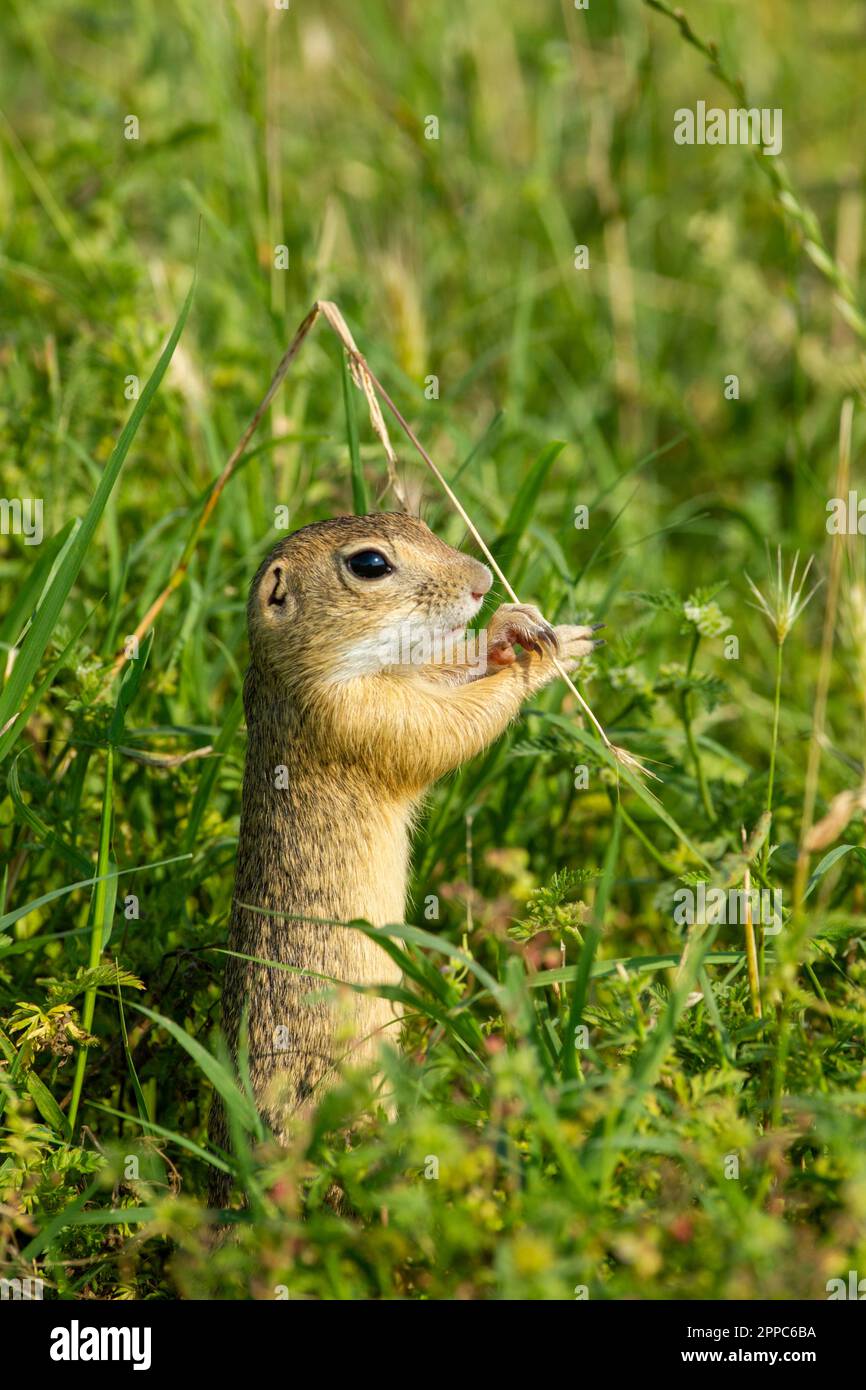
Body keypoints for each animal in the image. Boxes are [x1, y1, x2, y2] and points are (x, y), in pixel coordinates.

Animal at [208, 512, 598, 1203]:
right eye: (370, 564)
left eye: (419, 520)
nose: (481, 581)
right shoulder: (362, 716)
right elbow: (451, 726)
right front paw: (546, 658)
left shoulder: (402, 684)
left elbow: (449, 672)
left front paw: (516, 627)